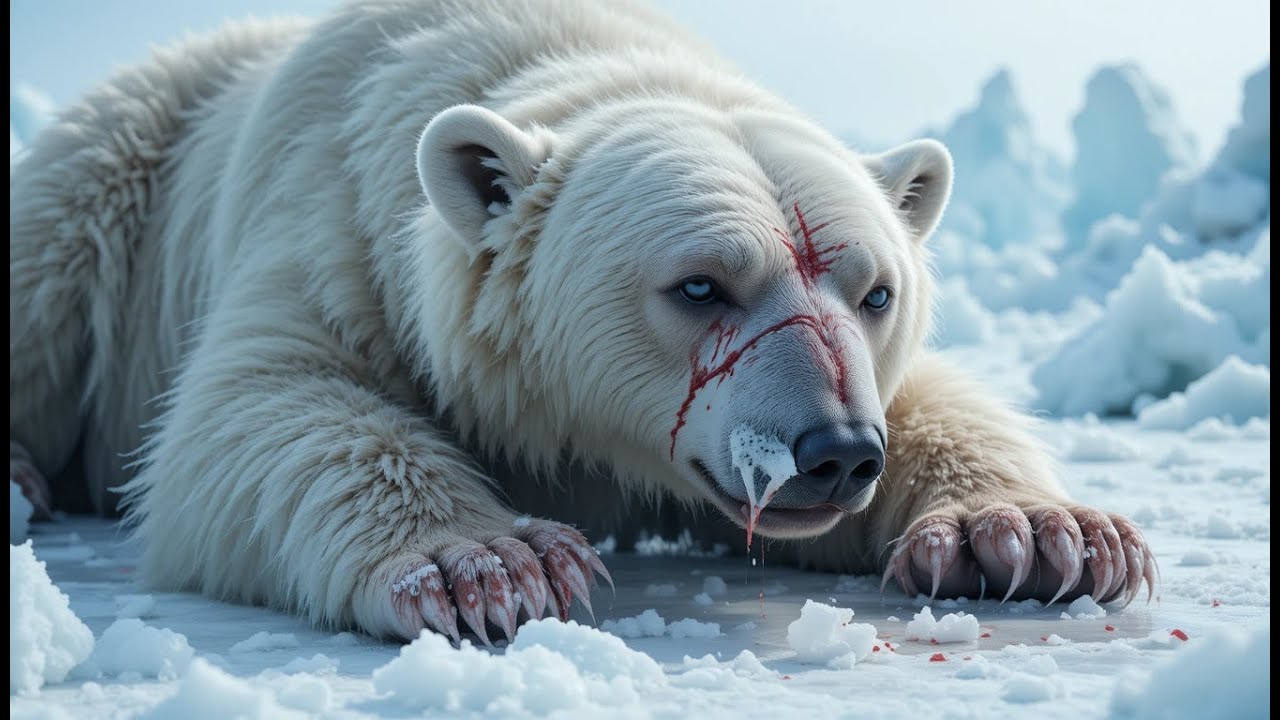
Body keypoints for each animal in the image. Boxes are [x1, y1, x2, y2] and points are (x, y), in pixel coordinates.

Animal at [9, 0, 1156, 642]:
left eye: (876, 293)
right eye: (700, 286)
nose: (834, 452)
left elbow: (933, 402)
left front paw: (1034, 537)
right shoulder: (339, 237)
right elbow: (260, 411)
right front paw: (485, 564)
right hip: (129, 163)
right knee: (48, 264)